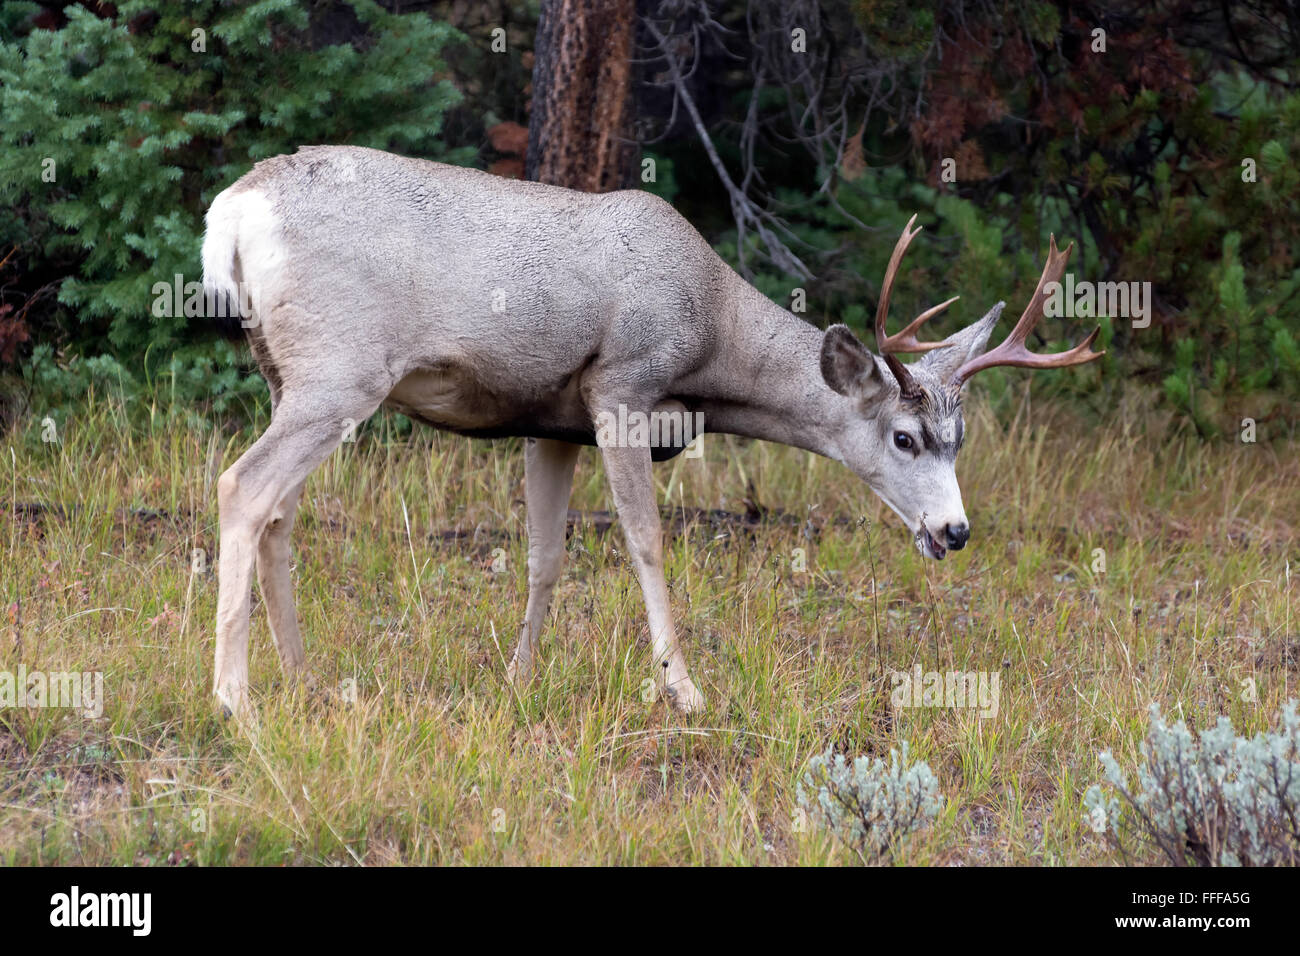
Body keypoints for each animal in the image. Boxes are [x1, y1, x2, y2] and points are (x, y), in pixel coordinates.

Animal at [201, 144, 1102, 719]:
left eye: (960, 438)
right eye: (905, 438)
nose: (954, 531)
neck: (709, 346)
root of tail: (233, 212)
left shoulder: (550, 422)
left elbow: (545, 557)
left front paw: (517, 679)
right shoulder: (622, 385)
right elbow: (646, 540)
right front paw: (685, 689)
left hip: (289, 374)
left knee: (280, 514)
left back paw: (306, 681)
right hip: (340, 370)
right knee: (242, 487)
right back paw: (236, 700)